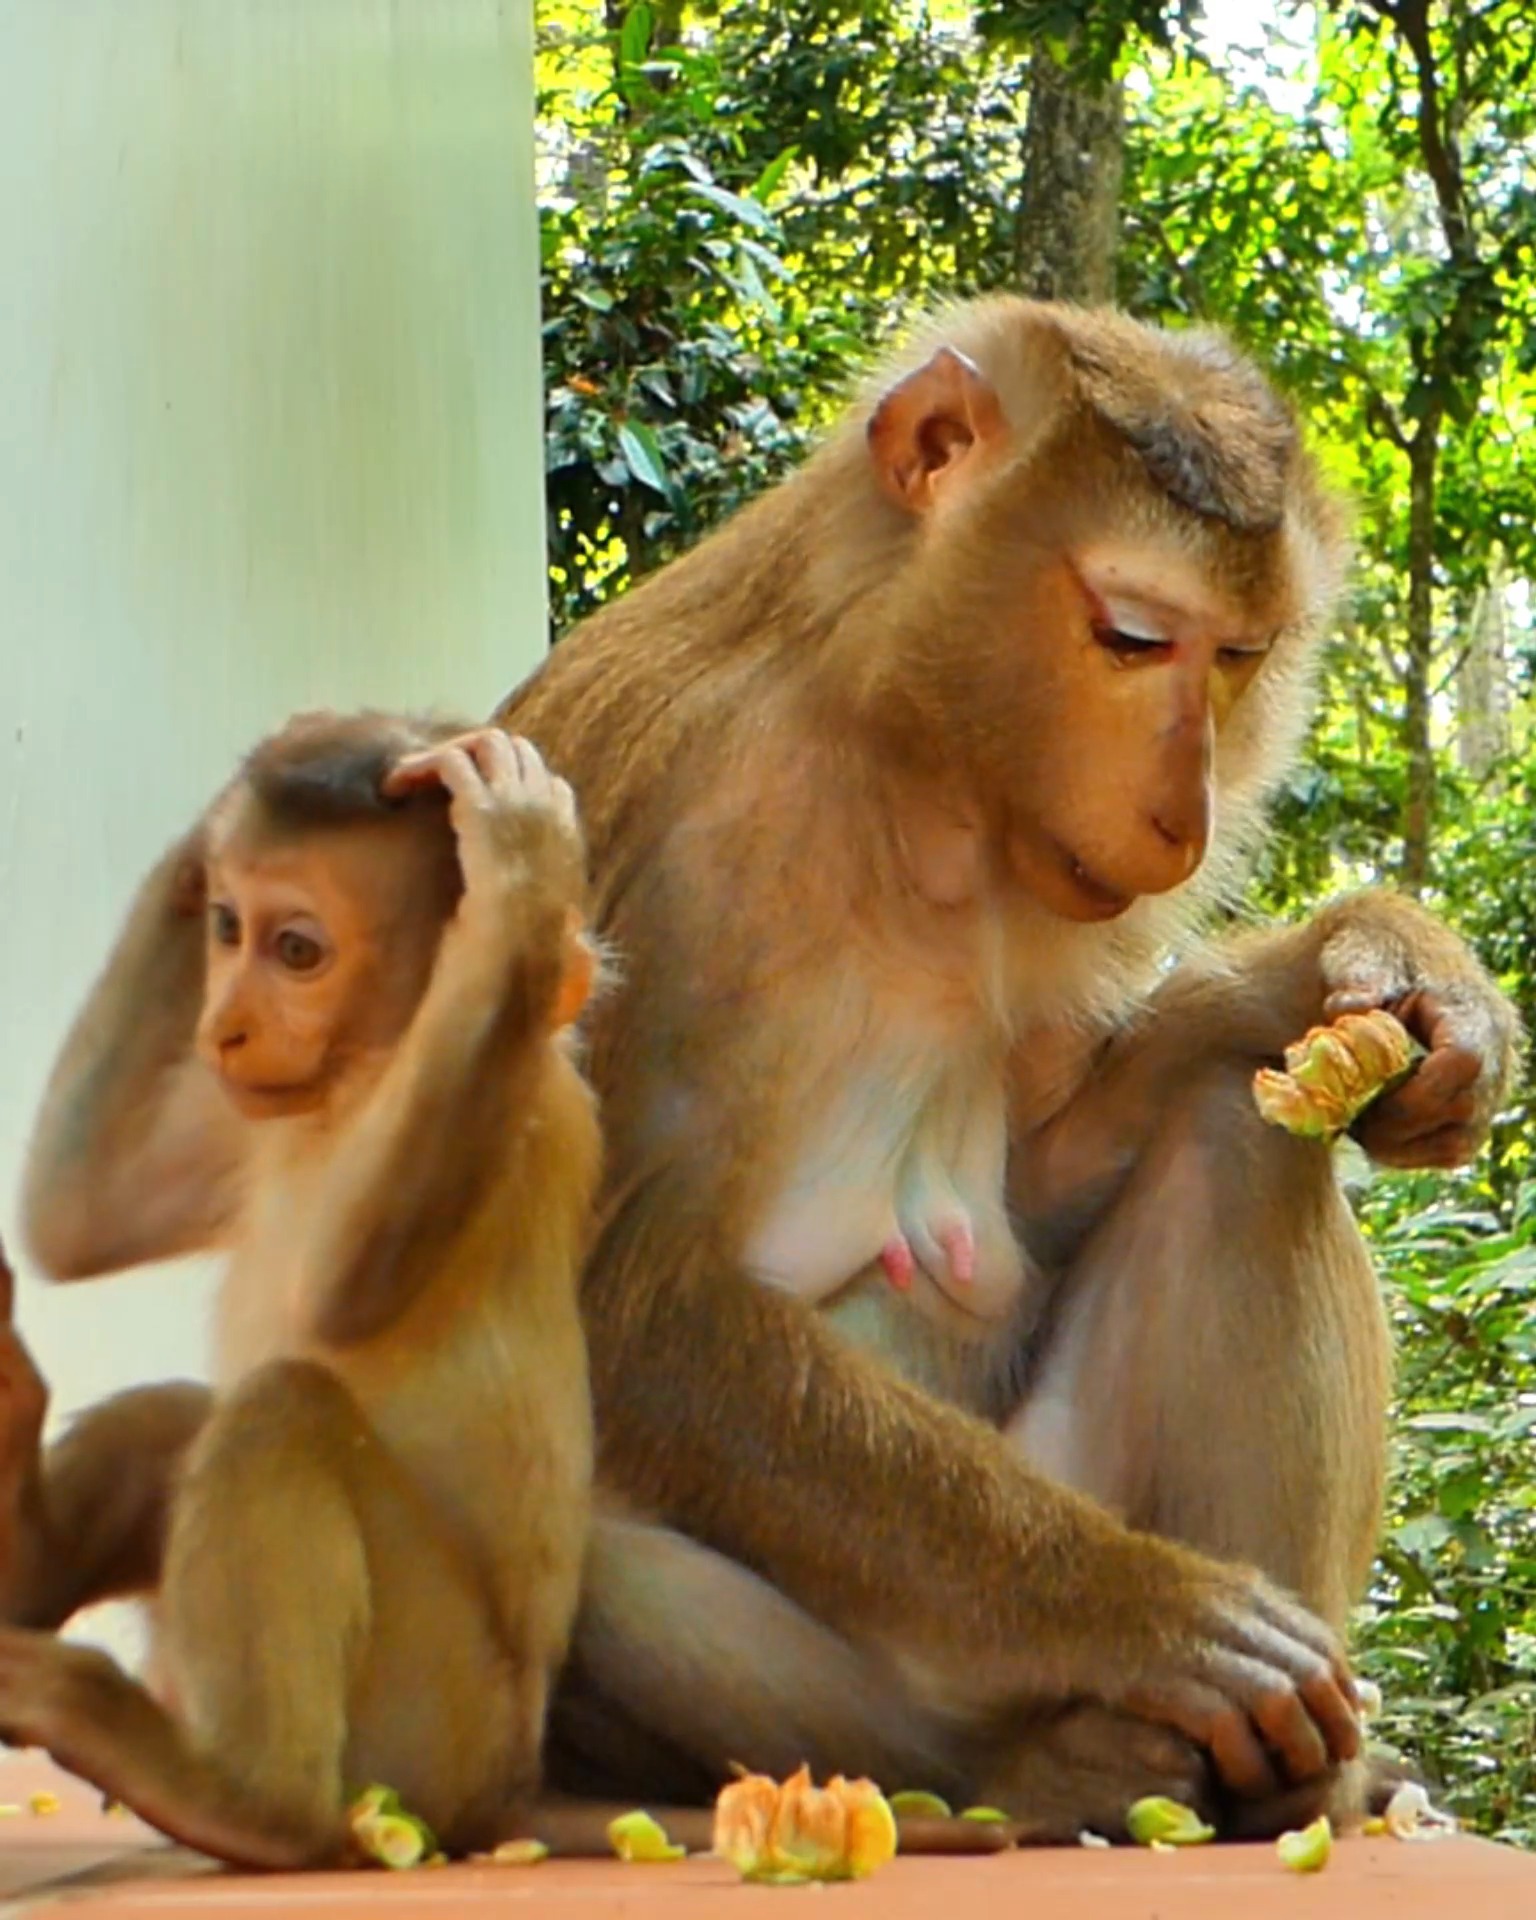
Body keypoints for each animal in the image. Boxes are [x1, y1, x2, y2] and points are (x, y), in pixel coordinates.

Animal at [0, 715, 603, 1869]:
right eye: (228, 928)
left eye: (297, 951)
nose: (224, 1026)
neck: (356, 1081)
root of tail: (508, 1795)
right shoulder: (245, 1106)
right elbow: (74, 1219)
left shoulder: (535, 1113)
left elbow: (343, 1294)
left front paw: (518, 883)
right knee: (174, 1420)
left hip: (429, 1729)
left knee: (277, 1411)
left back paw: (244, 1805)